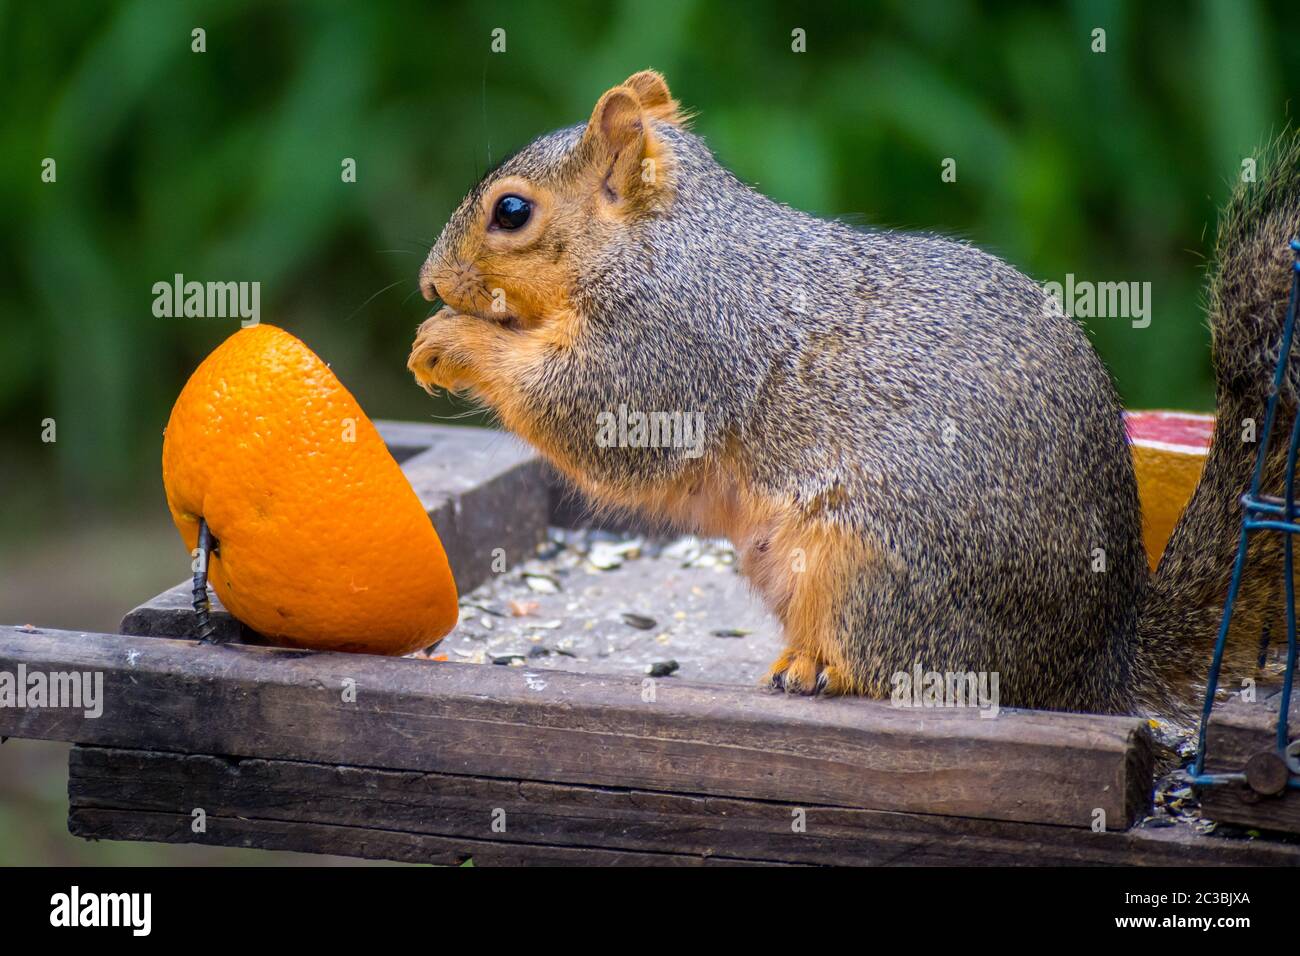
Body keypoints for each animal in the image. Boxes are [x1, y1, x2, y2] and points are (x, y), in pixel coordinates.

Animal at [409, 70, 1300, 714]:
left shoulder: (671, 341)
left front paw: (452, 343)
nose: (427, 284)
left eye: (511, 212)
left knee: (912, 667)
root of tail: (1093, 668)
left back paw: (820, 671)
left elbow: (595, 415)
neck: (663, 241)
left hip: (872, 565)